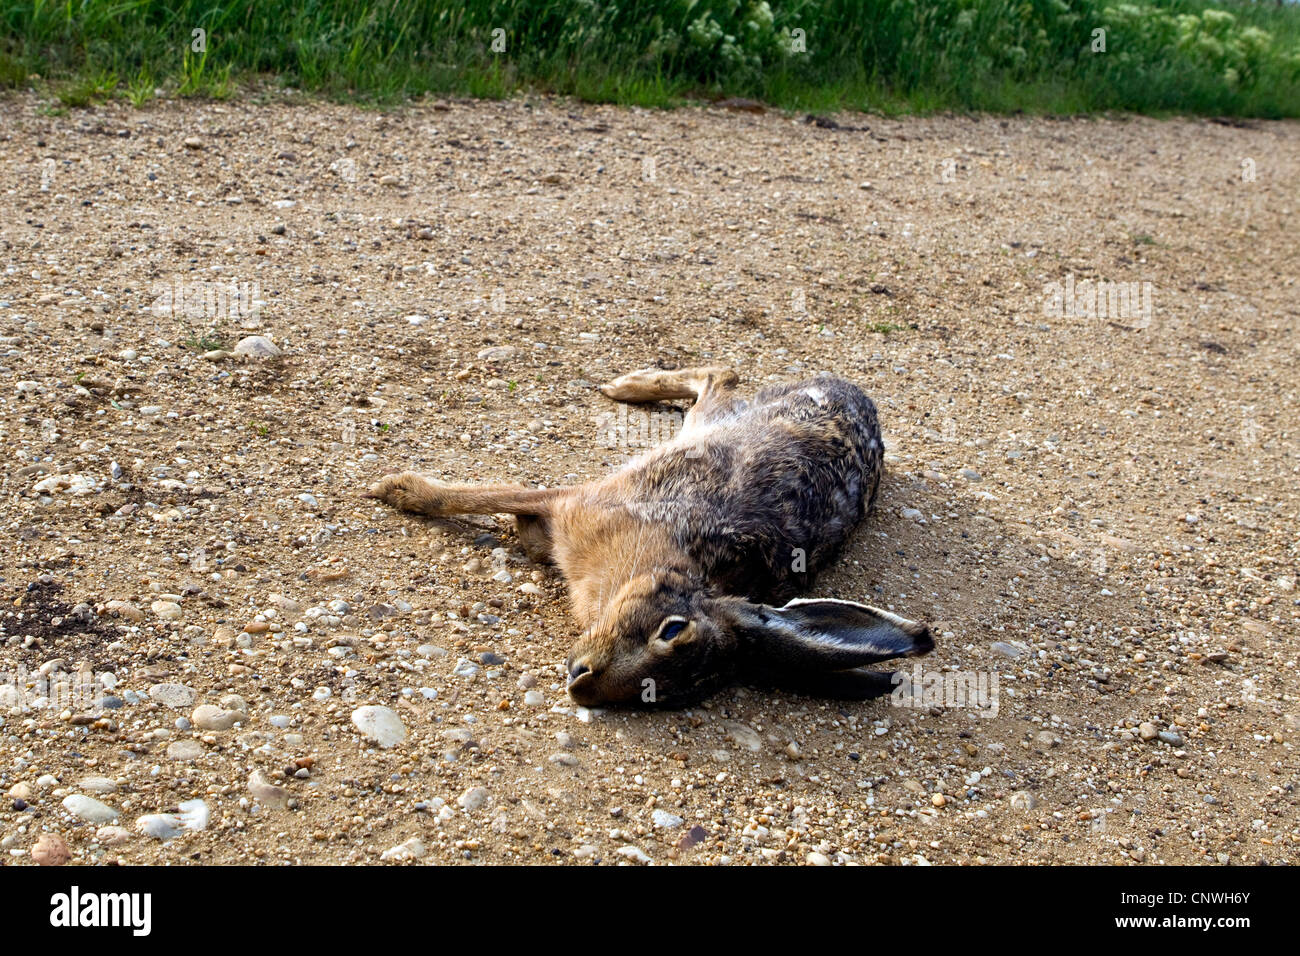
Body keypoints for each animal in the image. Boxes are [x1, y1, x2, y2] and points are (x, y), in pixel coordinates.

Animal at [365, 365, 934, 707]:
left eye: (669, 695)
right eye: (671, 628)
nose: (581, 683)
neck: (671, 565)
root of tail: (856, 395)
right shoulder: (575, 501)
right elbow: (478, 496)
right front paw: (395, 488)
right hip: (712, 421)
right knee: (720, 375)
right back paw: (625, 386)